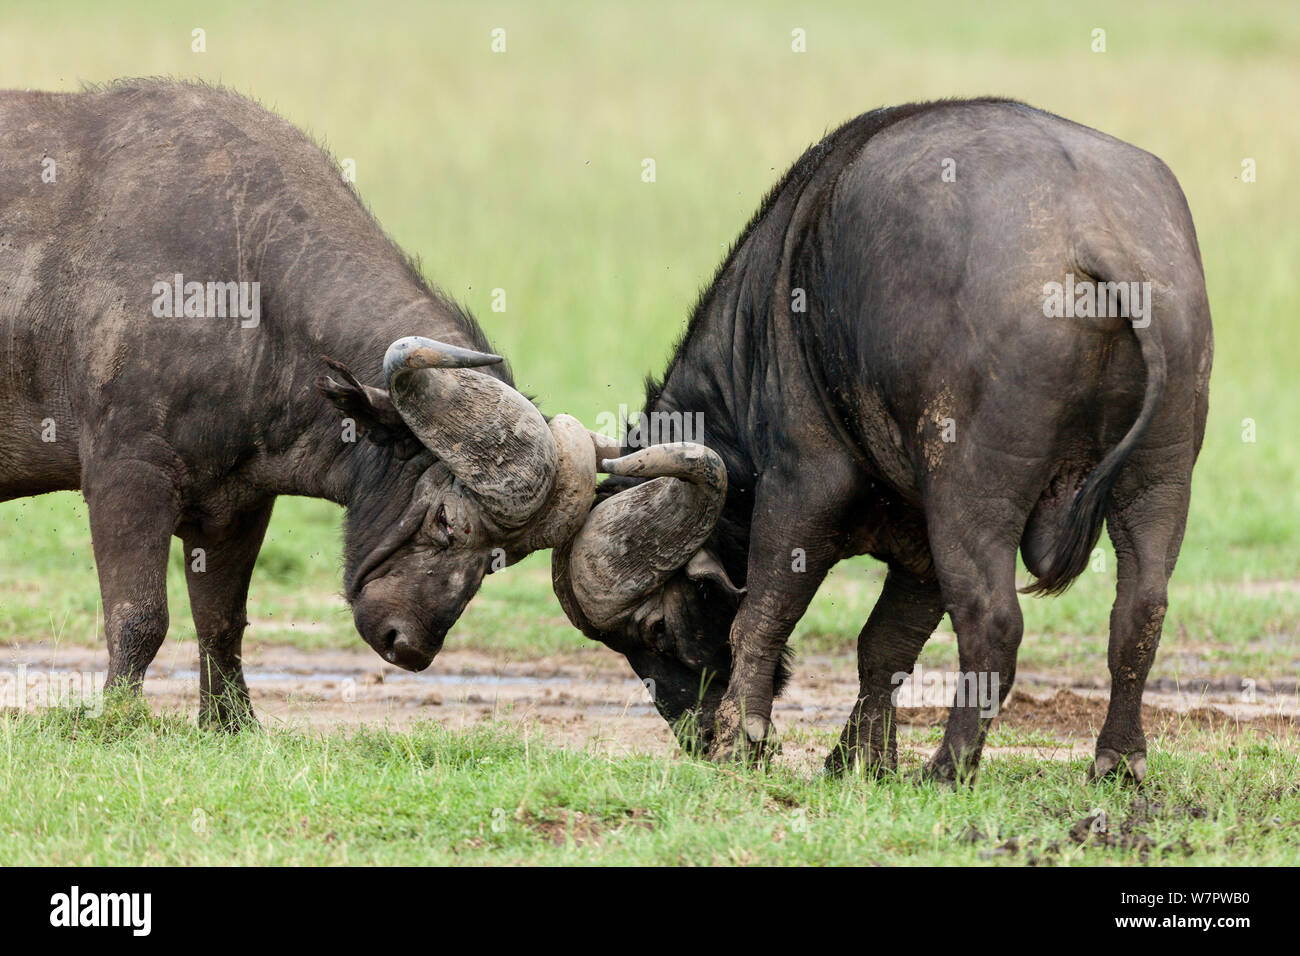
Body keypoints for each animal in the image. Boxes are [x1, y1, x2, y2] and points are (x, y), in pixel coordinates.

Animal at [553, 99, 1213, 783]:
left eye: (654, 630)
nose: (697, 735)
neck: (770, 310)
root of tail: (1096, 237)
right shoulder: (918, 542)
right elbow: (885, 643)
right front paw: (861, 759)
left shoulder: (802, 482)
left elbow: (764, 613)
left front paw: (746, 737)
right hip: (1159, 476)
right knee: (1140, 610)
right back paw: (1117, 760)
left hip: (972, 494)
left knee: (993, 620)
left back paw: (948, 767)